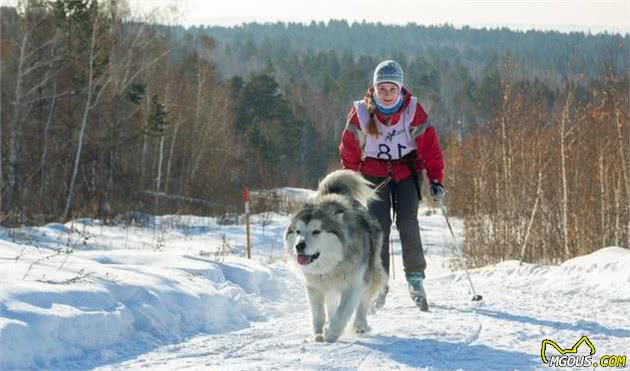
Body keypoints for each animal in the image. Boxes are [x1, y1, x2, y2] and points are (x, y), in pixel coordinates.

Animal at [284, 170, 388, 344]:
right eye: (298, 231)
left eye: (316, 231)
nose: (299, 246)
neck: (332, 264)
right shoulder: (314, 286)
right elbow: (318, 314)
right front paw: (317, 334)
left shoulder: (355, 284)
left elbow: (343, 312)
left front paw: (331, 332)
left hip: (369, 273)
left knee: (363, 303)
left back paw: (360, 325)